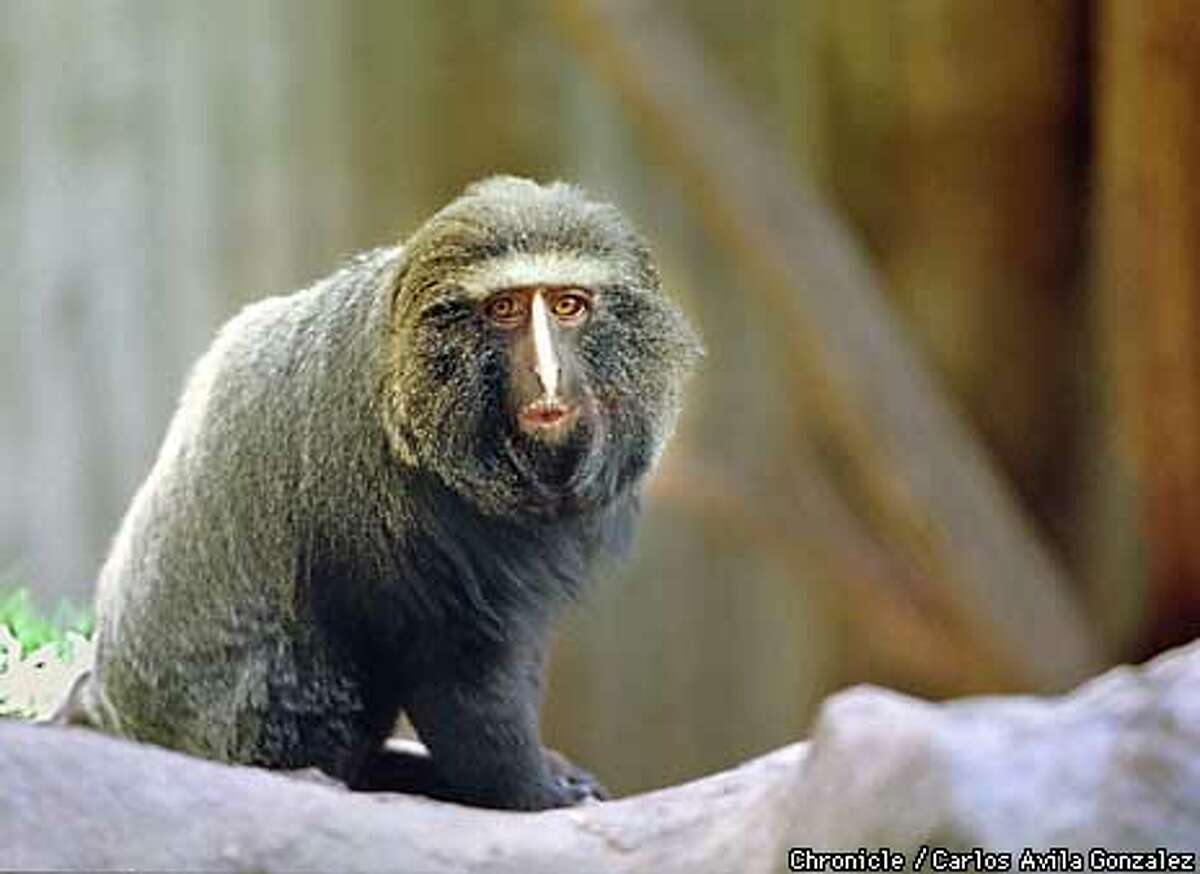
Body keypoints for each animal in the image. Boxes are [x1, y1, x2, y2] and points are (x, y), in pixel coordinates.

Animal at [60, 176, 702, 810]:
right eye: (505, 309)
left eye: (568, 306)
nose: (547, 376)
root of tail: (109, 709)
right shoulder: (392, 503)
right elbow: (454, 670)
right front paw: (537, 793)